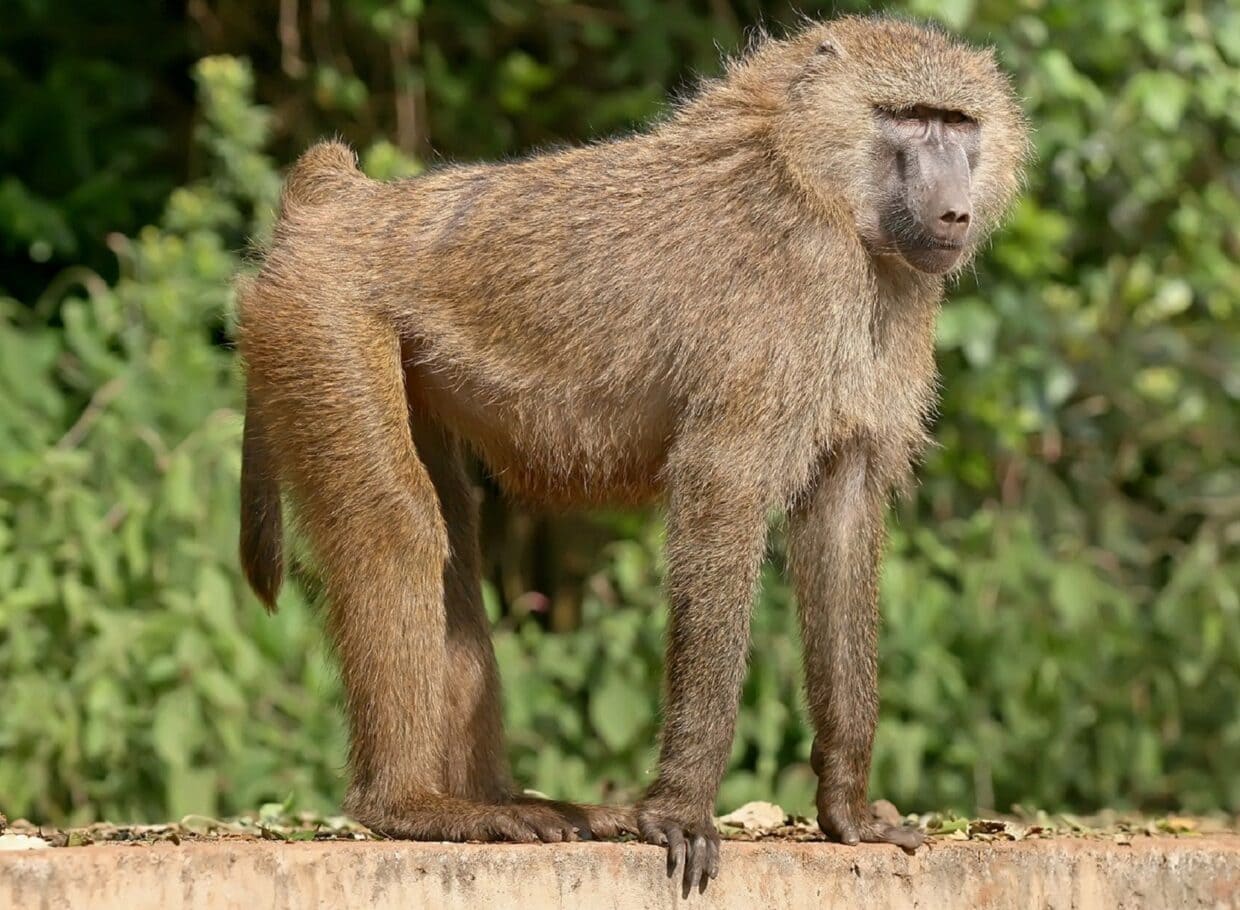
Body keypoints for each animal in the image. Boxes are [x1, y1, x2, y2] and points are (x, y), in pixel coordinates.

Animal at [236, 14, 1028, 894]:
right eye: (909, 118)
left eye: (959, 123)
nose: (953, 212)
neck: (817, 184)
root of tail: (345, 204)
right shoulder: (788, 306)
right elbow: (722, 489)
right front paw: (681, 811)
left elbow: (843, 521)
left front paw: (850, 812)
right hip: (323, 318)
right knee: (398, 527)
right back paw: (413, 807)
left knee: (453, 557)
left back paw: (495, 801)